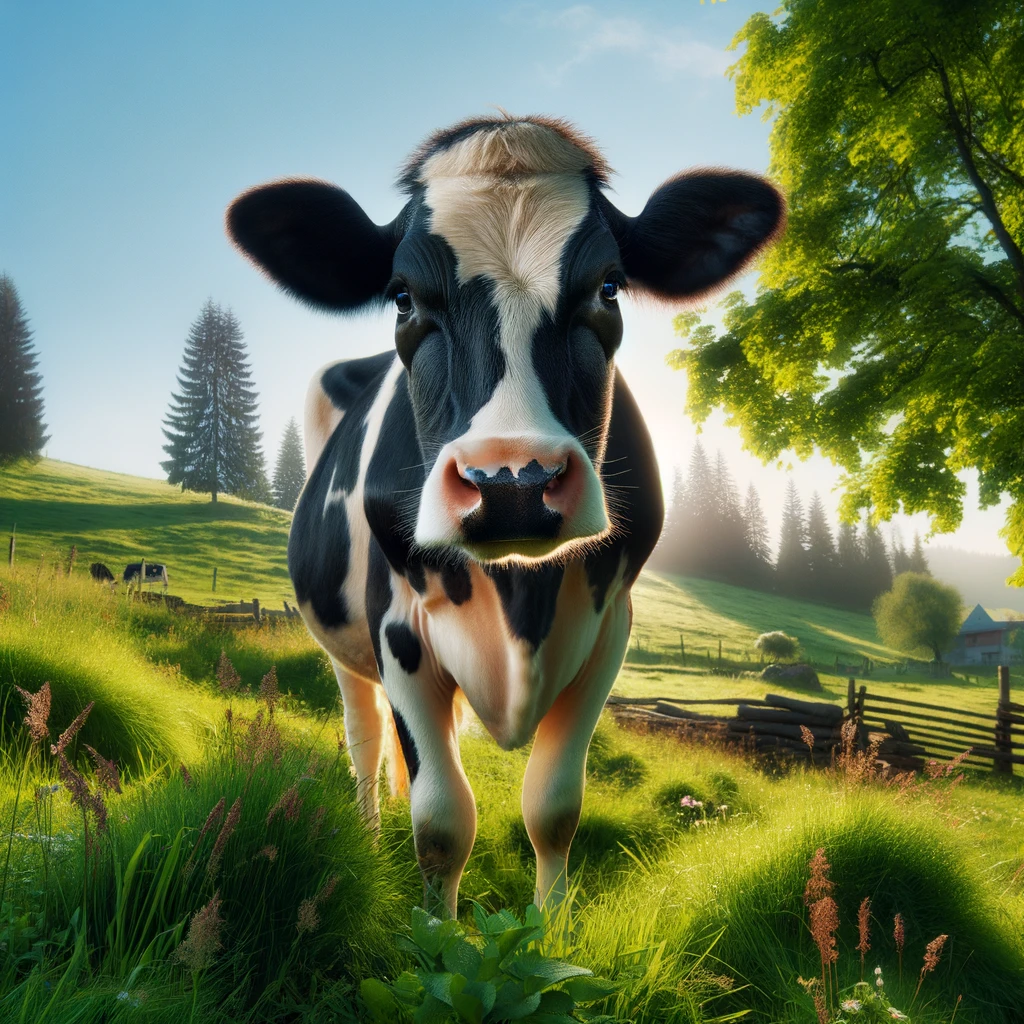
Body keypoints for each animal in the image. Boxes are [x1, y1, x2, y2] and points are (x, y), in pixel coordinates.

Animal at [227, 114, 784, 916]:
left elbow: (553, 808)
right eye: (402, 297)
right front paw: (435, 931)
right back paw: (367, 835)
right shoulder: (398, 630)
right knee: (364, 739)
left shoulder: (609, 631)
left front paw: (552, 929)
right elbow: (440, 820)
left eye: (608, 287)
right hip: (343, 644)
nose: (511, 481)